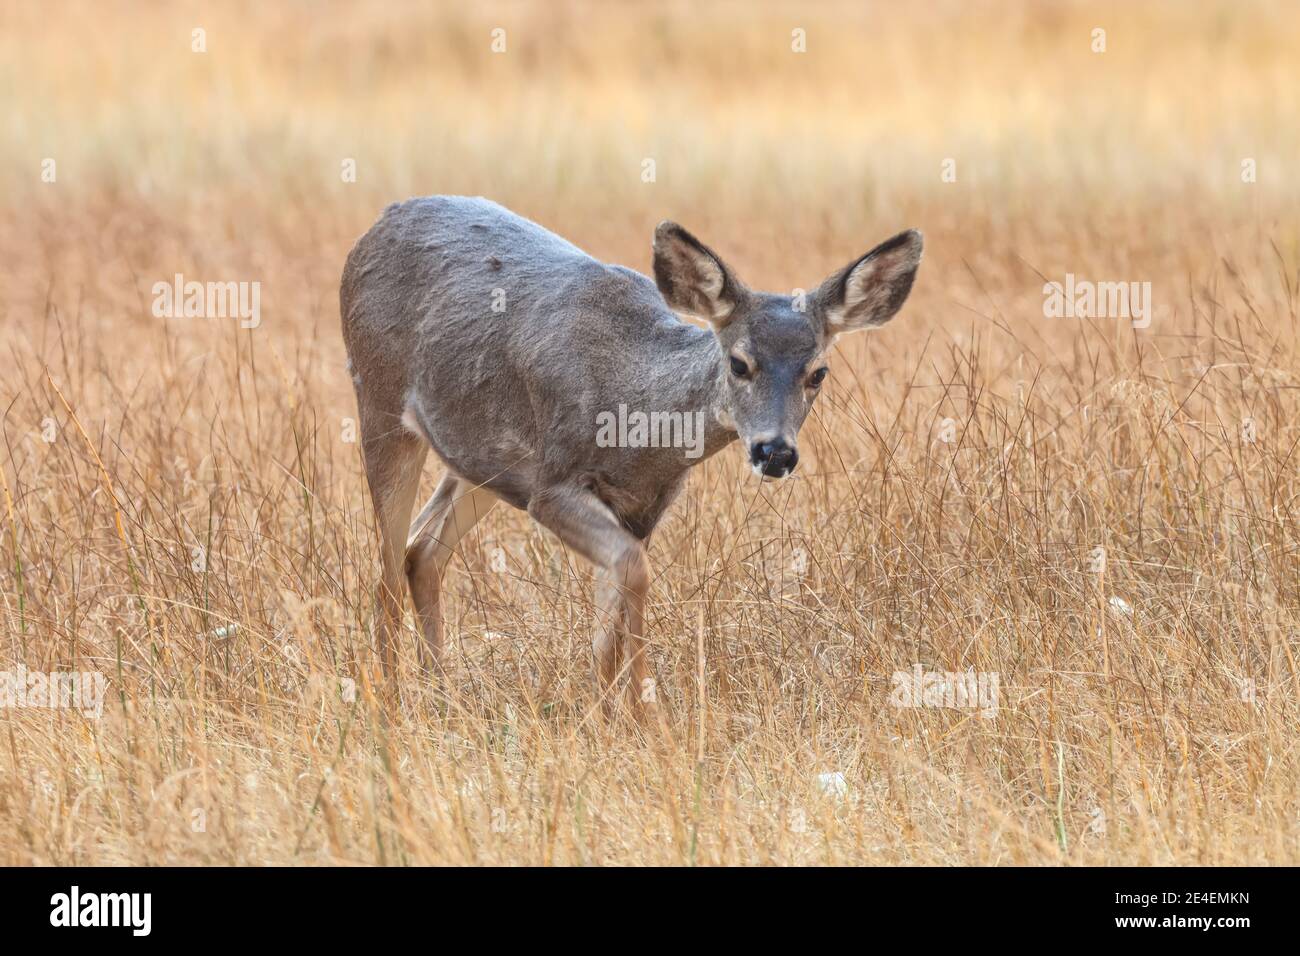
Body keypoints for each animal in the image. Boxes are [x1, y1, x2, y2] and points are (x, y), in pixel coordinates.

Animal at [340, 196, 922, 721]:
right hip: (378, 394)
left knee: (422, 550)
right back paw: (391, 702)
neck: (636, 414)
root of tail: (379, 222)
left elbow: (612, 606)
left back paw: (443, 693)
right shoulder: (553, 486)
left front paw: (605, 717)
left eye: (818, 372)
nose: (774, 452)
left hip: (481, 462)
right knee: (387, 565)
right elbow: (633, 570)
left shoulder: (644, 504)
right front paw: (643, 715)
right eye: (739, 363)